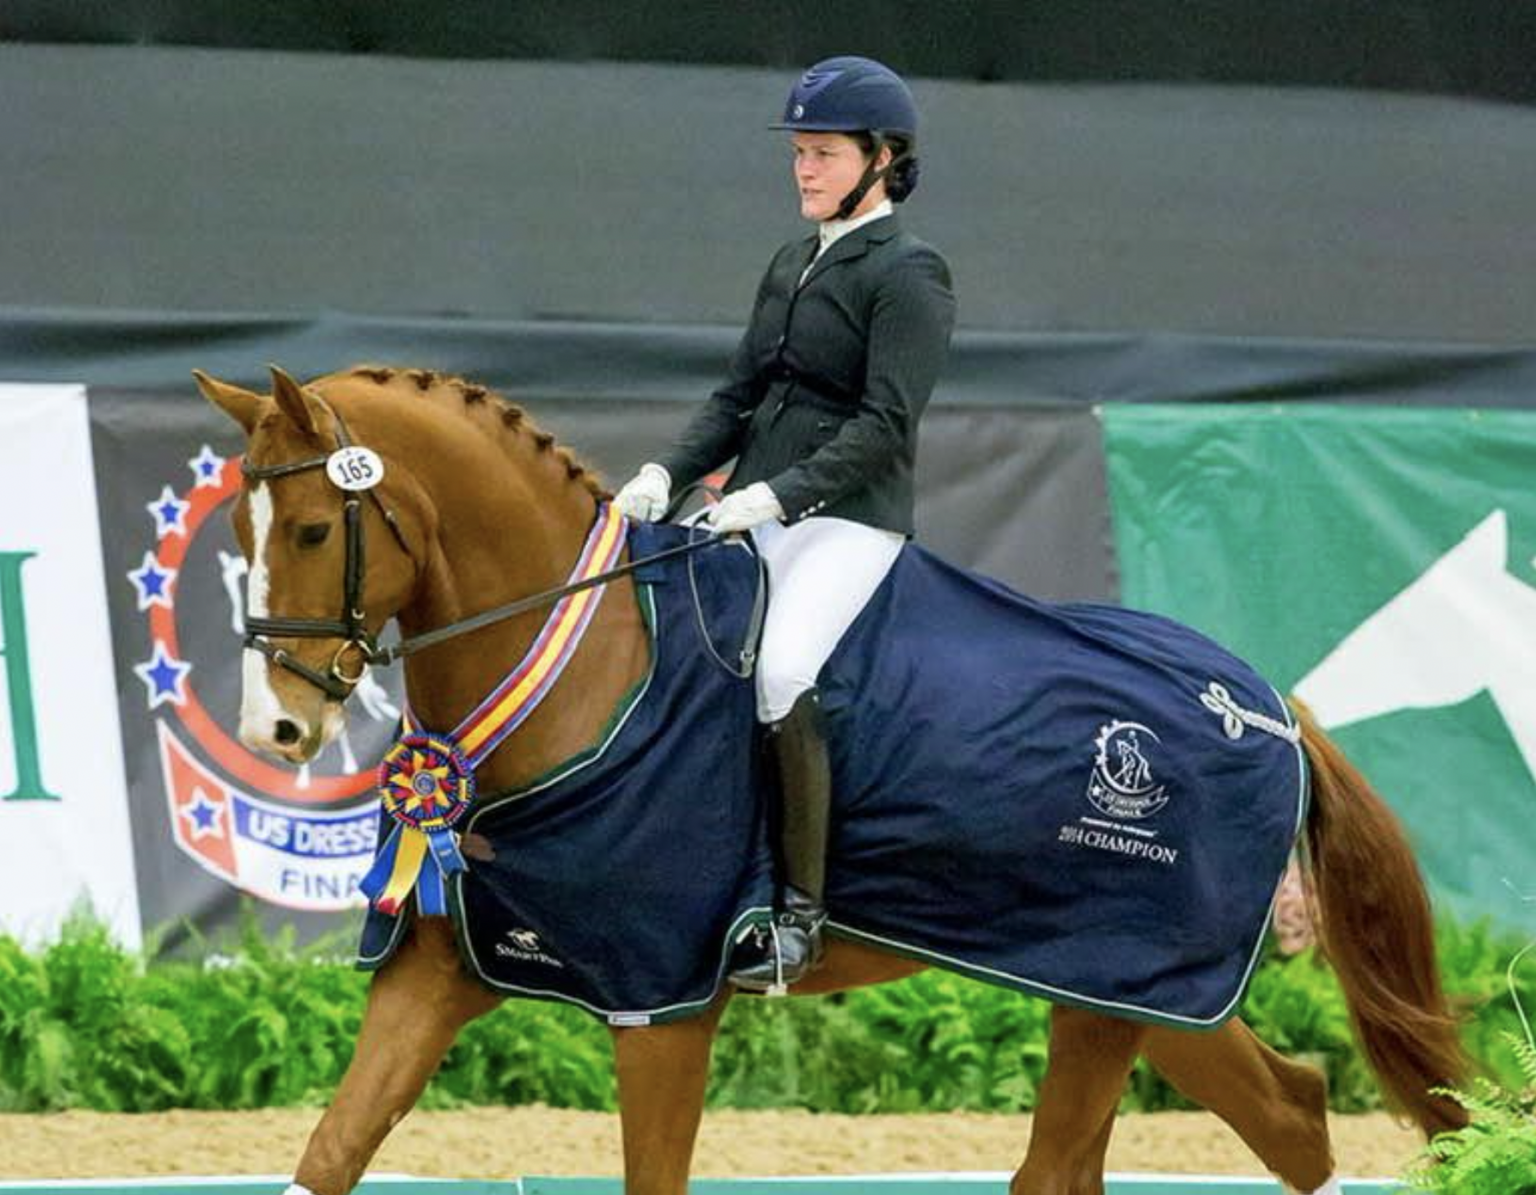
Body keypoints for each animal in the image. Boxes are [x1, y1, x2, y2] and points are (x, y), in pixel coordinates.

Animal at [194, 364, 1470, 1195]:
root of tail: (1266, 706)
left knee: (1218, 1134)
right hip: (1124, 994)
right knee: (1249, 1127)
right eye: (240, 536)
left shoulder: (665, 1001)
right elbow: (329, 1153)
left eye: (311, 530)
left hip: (1142, 985)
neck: (580, 660)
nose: (279, 726)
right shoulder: (444, 966)